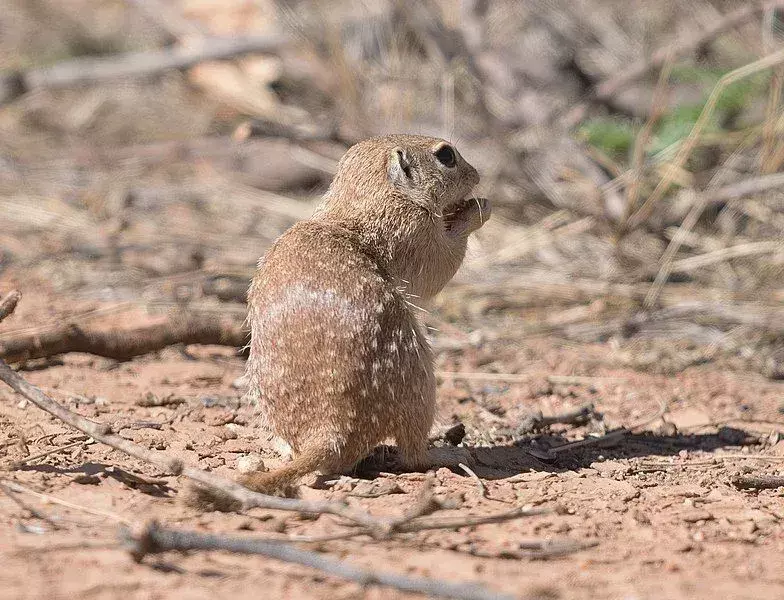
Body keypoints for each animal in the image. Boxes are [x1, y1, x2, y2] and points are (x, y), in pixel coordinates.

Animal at [242, 135, 494, 492]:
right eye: (446, 156)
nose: (476, 174)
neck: (359, 201)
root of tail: (327, 430)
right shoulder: (411, 227)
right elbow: (437, 266)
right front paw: (476, 209)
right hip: (420, 380)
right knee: (413, 455)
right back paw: (446, 453)